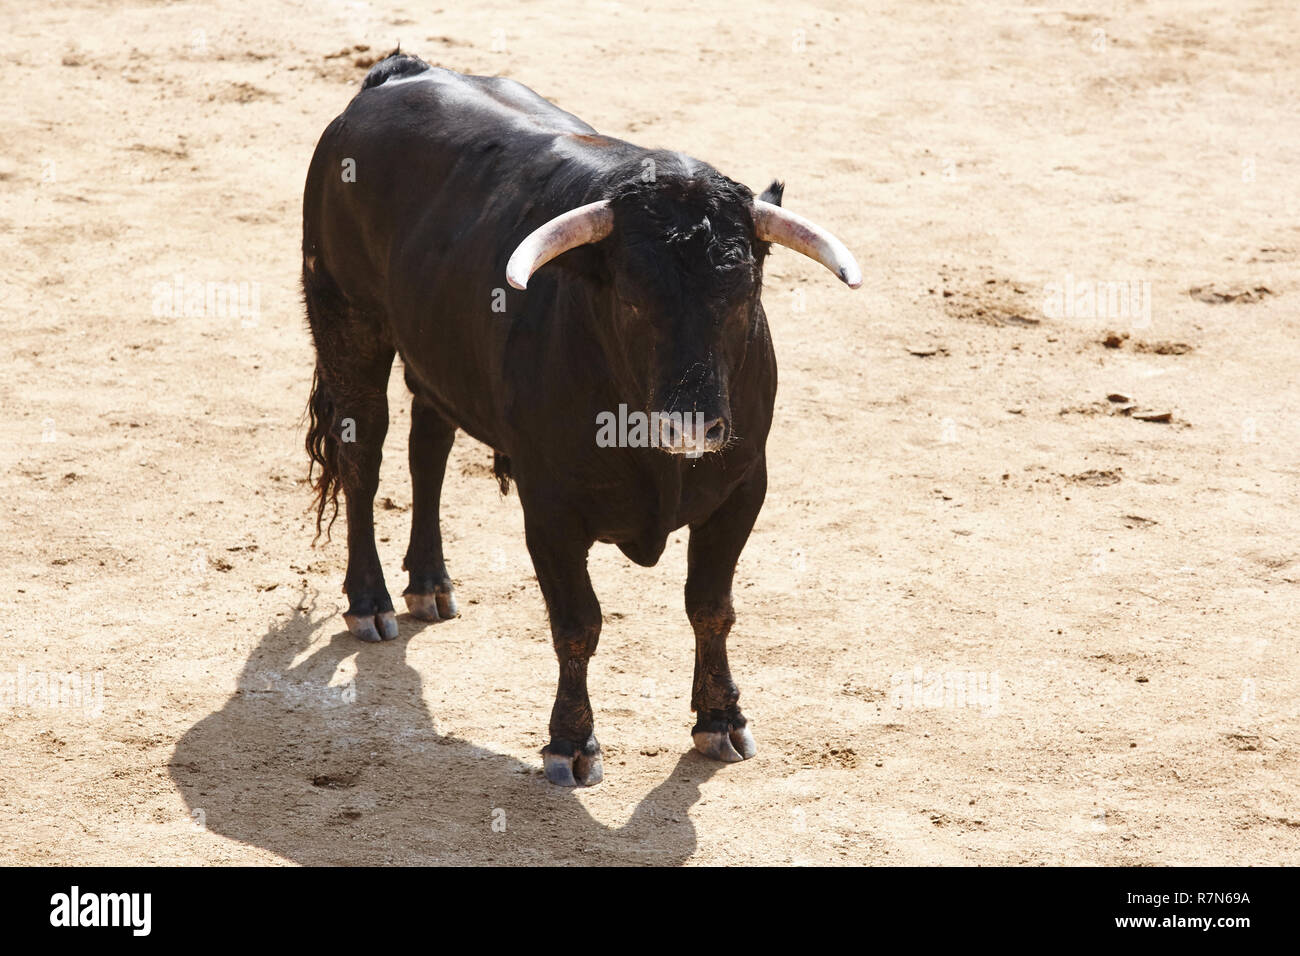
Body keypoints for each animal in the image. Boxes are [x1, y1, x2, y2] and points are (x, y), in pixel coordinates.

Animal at [301, 53, 860, 786]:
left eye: (744, 293)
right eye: (632, 297)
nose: (691, 427)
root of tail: (397, 74)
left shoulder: (742, 488)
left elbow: (711, 608)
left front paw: (720, 720)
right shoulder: (550, 508)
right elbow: (577, 623)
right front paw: (570, 742)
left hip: (436, 352)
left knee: (430, 447)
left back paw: (429, 584)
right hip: (348, 324)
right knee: (362, 459)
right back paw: (371, 603)